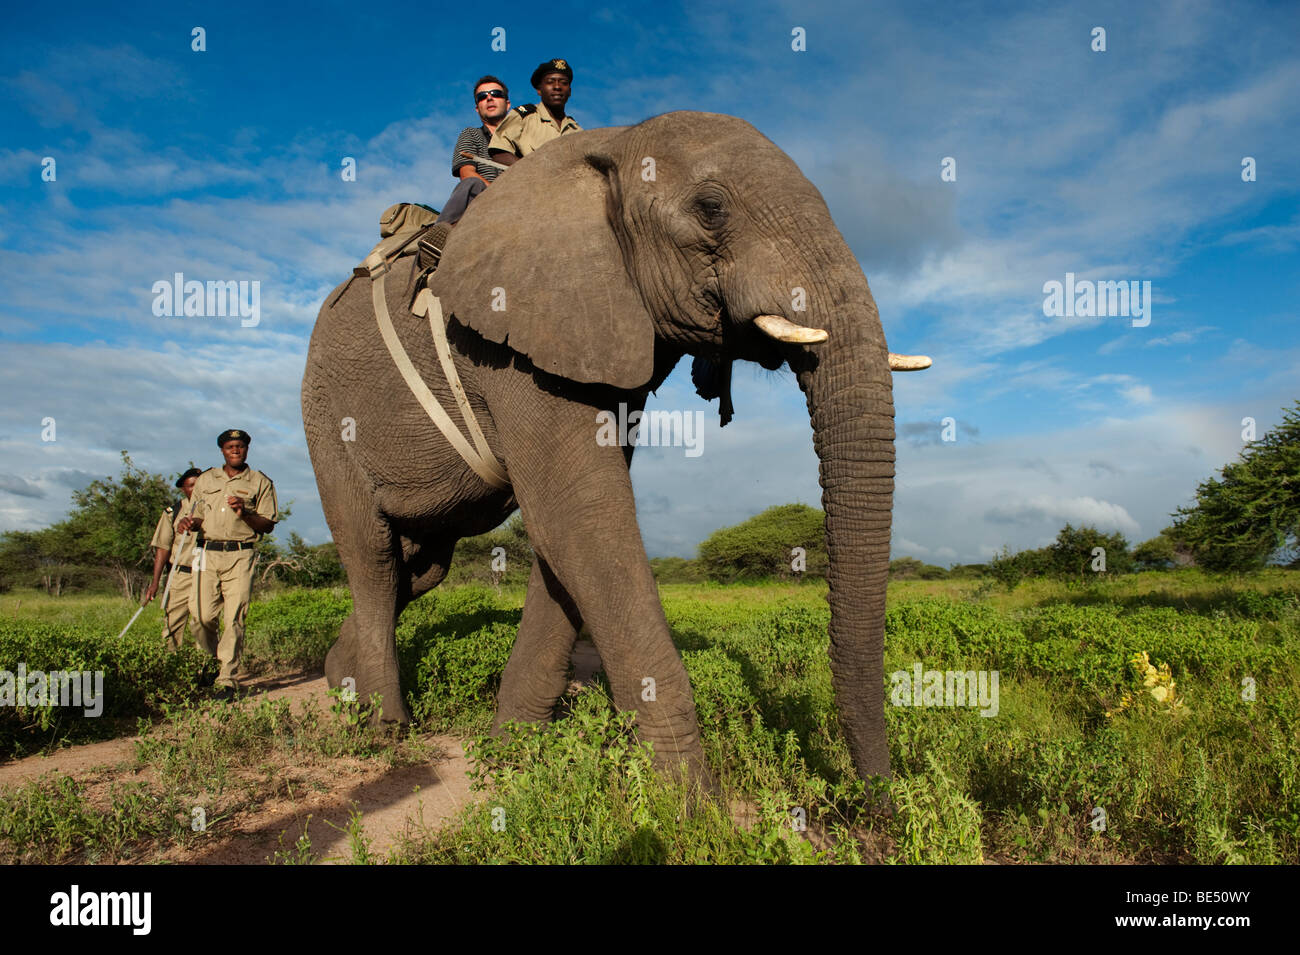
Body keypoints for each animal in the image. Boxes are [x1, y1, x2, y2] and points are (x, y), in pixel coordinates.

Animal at [300, 111, 929, 787]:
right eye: (711, 209)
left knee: (419, 567)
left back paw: (340, 681)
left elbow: (567, 536)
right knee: (373, 557)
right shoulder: (508, 337)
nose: (879, 799)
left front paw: (514, 751)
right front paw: (691, 804)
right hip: (325, 418)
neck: (616, 141)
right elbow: (584, 520)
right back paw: (382, 726)